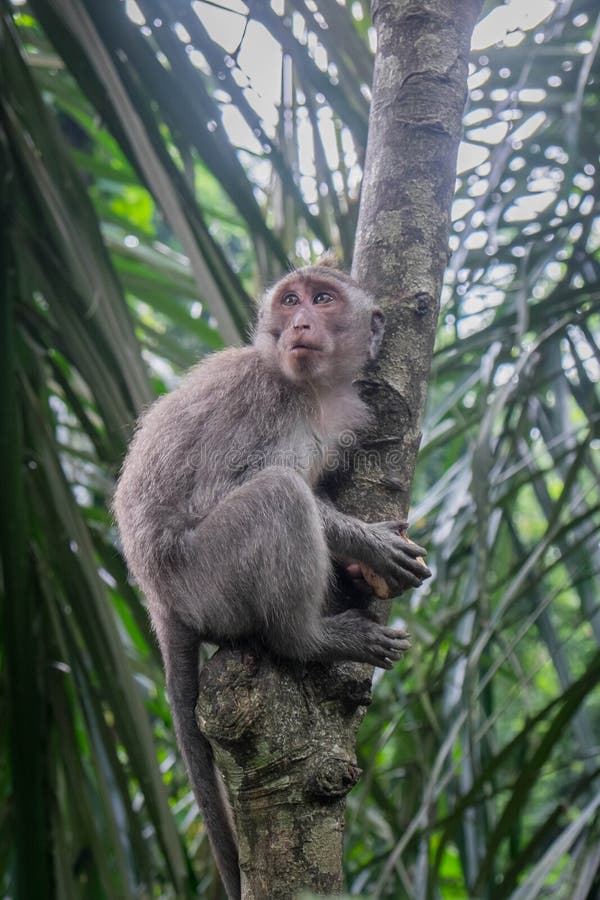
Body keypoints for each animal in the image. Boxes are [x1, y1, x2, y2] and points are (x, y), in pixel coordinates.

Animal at [113, 256, 431, 900]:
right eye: (290, 300)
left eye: (323, 298)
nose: (300, 322)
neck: (308, 390)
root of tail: (157, 601)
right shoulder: (259, 403)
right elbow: (225, 489)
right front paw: (366, 543)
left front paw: (358, 561)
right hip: (203, 578)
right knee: (278, 494)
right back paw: (307, 638)